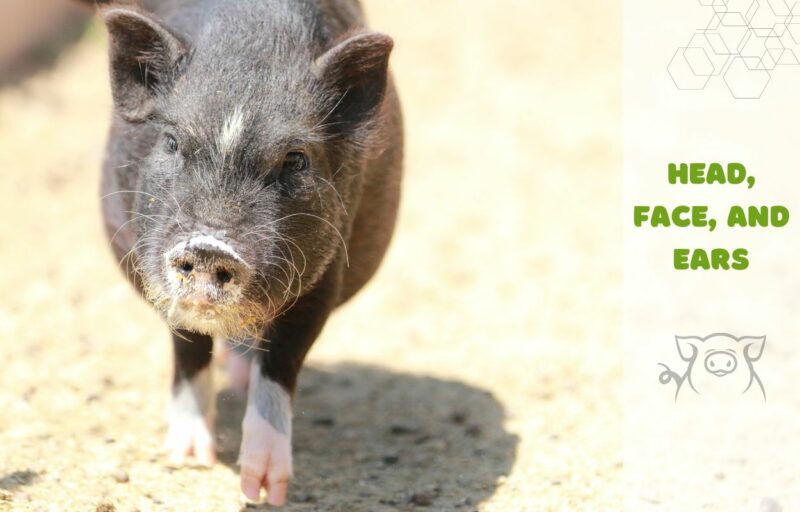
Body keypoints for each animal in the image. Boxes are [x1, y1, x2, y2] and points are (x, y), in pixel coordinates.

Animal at [86, 0, 403, 505]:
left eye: (295, 159)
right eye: (171, 142)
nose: (209, 246)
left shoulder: (325, 271)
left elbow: (282, 359)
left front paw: (263, 492)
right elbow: (187, 346)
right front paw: (189, 460)